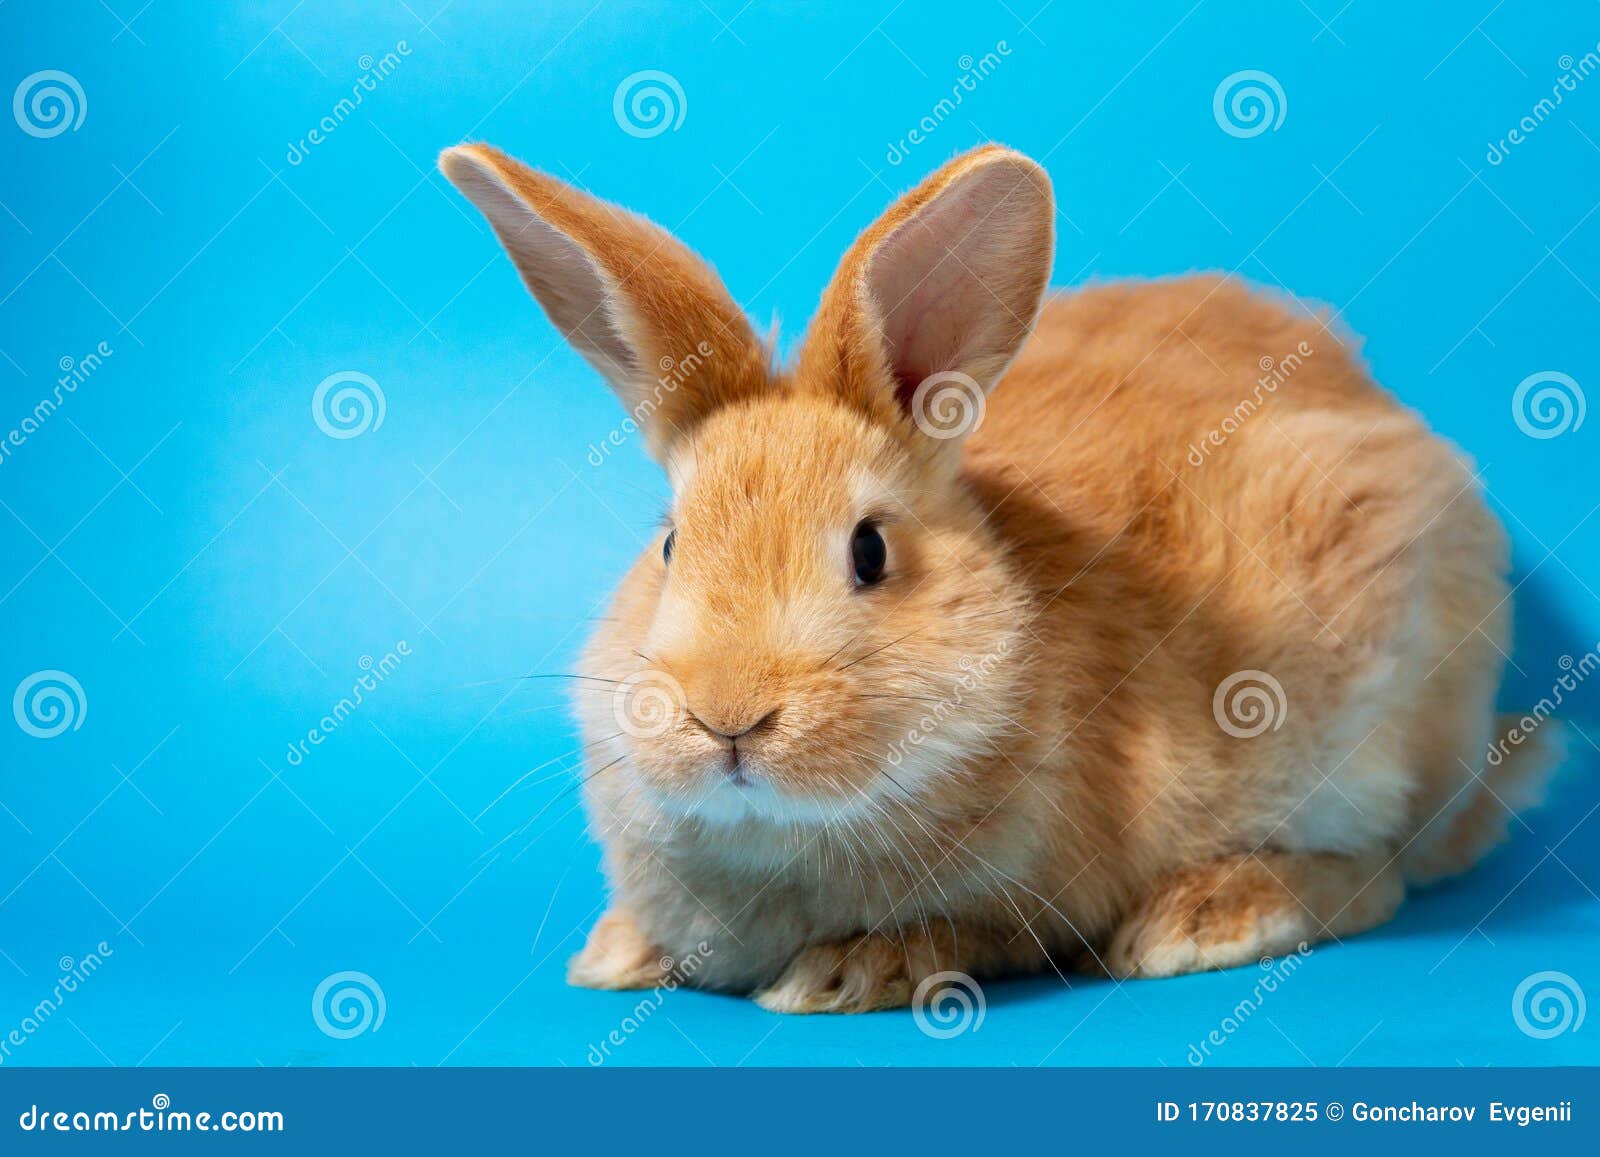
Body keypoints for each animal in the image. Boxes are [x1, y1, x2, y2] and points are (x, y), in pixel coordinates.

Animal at [441, 141, 1559, 1013]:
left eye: (869, 551)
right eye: (671, 543)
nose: (729, 718)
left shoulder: (1036, 892)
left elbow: (976, 934)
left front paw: (846, 971)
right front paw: (617, 951)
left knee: (1386, 872)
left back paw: (1200, 920)